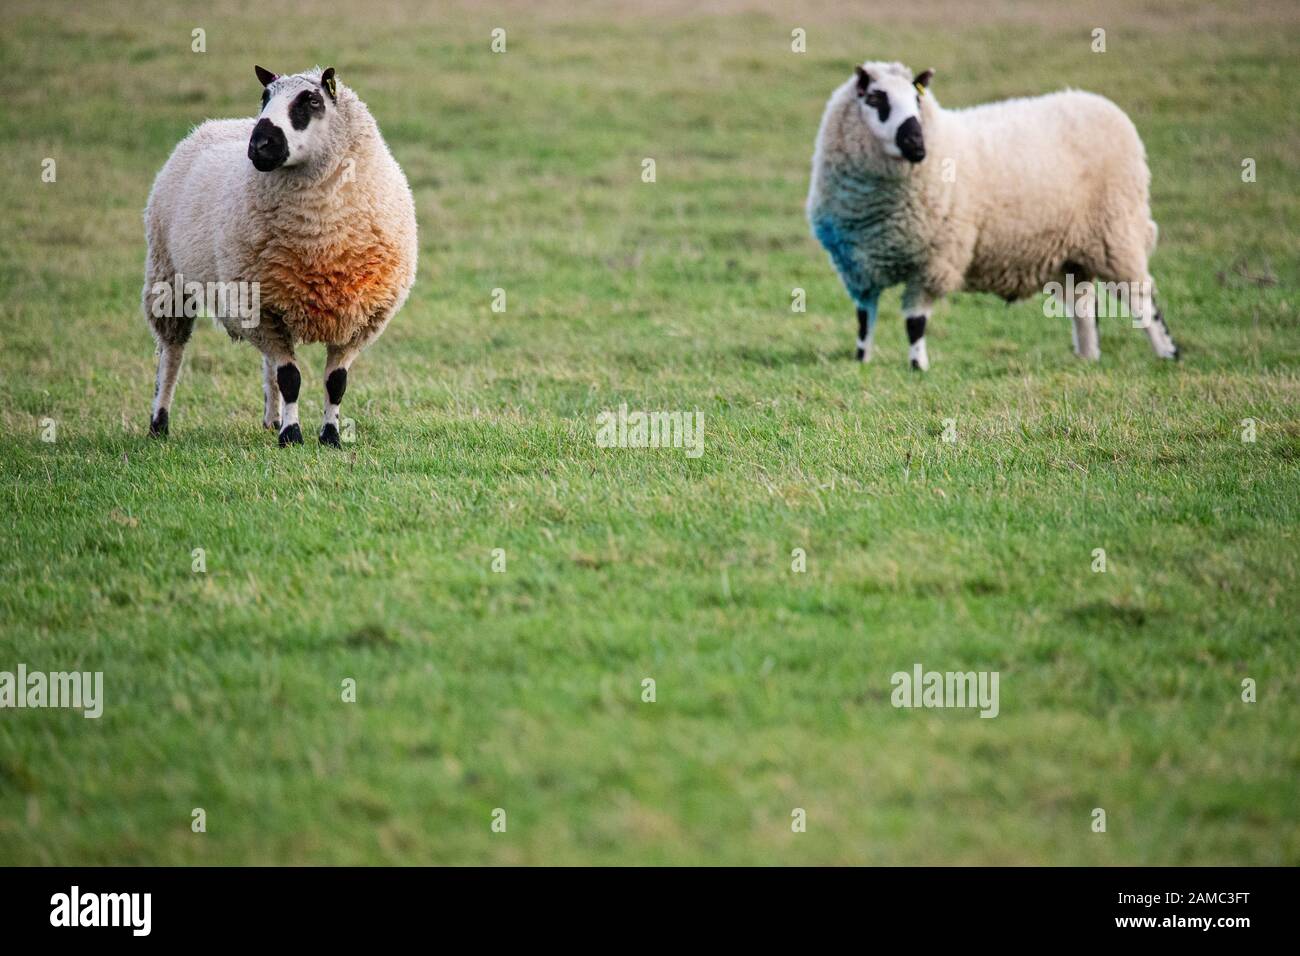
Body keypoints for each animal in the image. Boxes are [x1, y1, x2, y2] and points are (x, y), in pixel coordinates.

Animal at [143, 65, 417, 446]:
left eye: (312, 101)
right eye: (265, 97)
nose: (259, 145)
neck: (320, 237)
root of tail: (214, 124)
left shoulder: (359, 316)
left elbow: (336, 382)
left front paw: (329, 435)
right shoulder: (262, 307)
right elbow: (291, 379)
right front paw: (292, 435)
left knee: (267, 362)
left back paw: (271, 419)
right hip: (168, 278)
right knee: (171, 354)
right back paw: (159, 423)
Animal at [806, 61, 1179, 369]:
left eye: (916, 100)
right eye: (875, 98)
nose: (917, 145)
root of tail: (1100, 103)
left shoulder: (934, 261)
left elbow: (915, 322)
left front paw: (918, 366)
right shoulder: (857, 265)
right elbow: (864, 319)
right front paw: (861, 360)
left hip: (1117, 232)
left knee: (1141, 298)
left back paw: (1167, 352)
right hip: (1072, 253)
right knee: (1084, 307)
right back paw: (1088, 357)